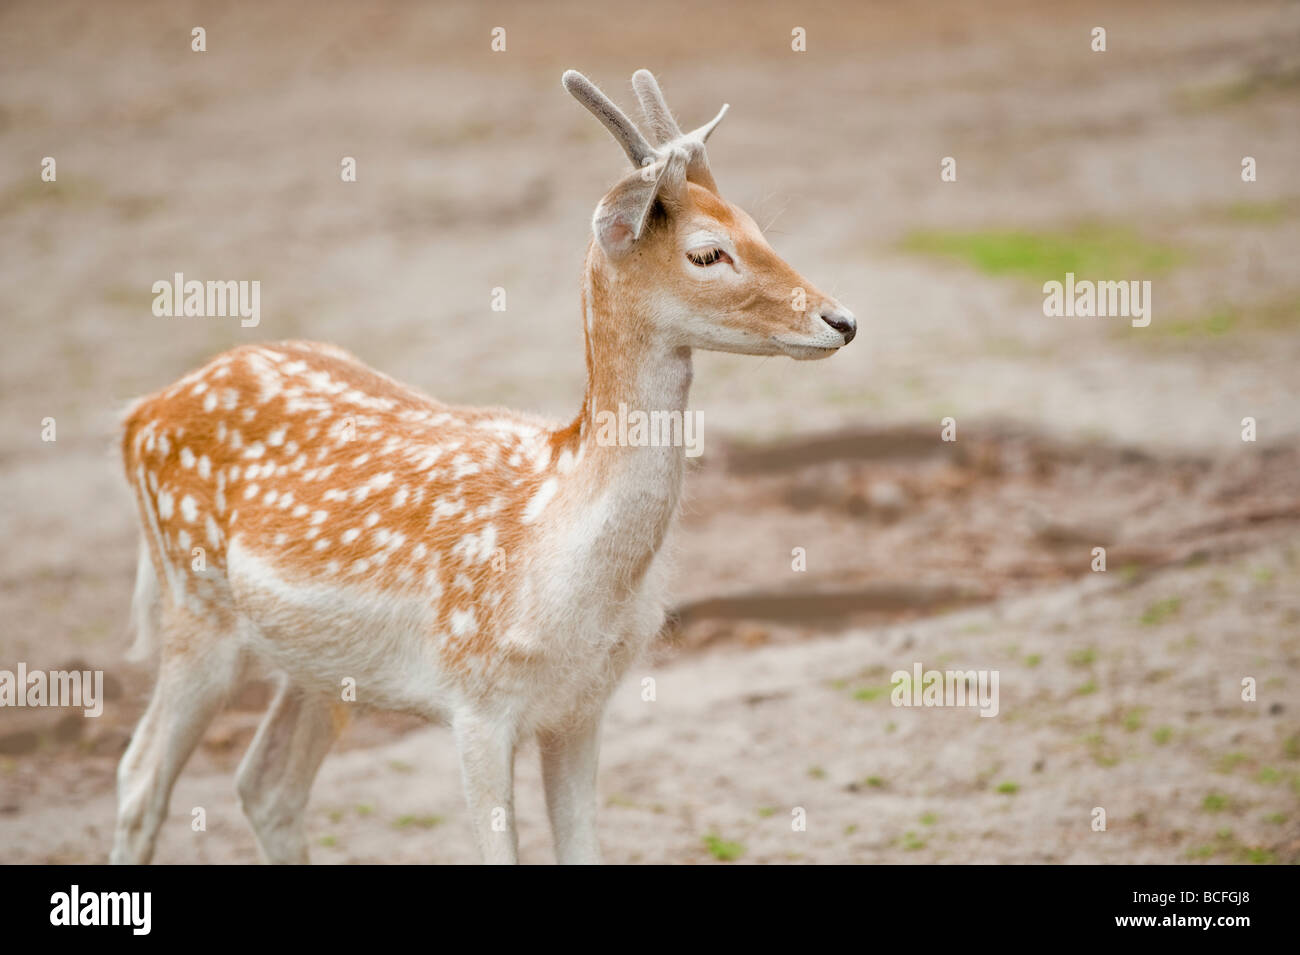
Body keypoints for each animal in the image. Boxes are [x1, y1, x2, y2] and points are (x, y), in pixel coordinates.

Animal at [111, 69, 856, 865]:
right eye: (708, 253)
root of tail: (139, 414)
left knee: (266, 783)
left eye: (757, 226)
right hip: (195, 610)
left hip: (318, 665)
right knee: (140, 776)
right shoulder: (474, 701)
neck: (555, 558)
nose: (841, 321)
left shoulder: (584, 706)